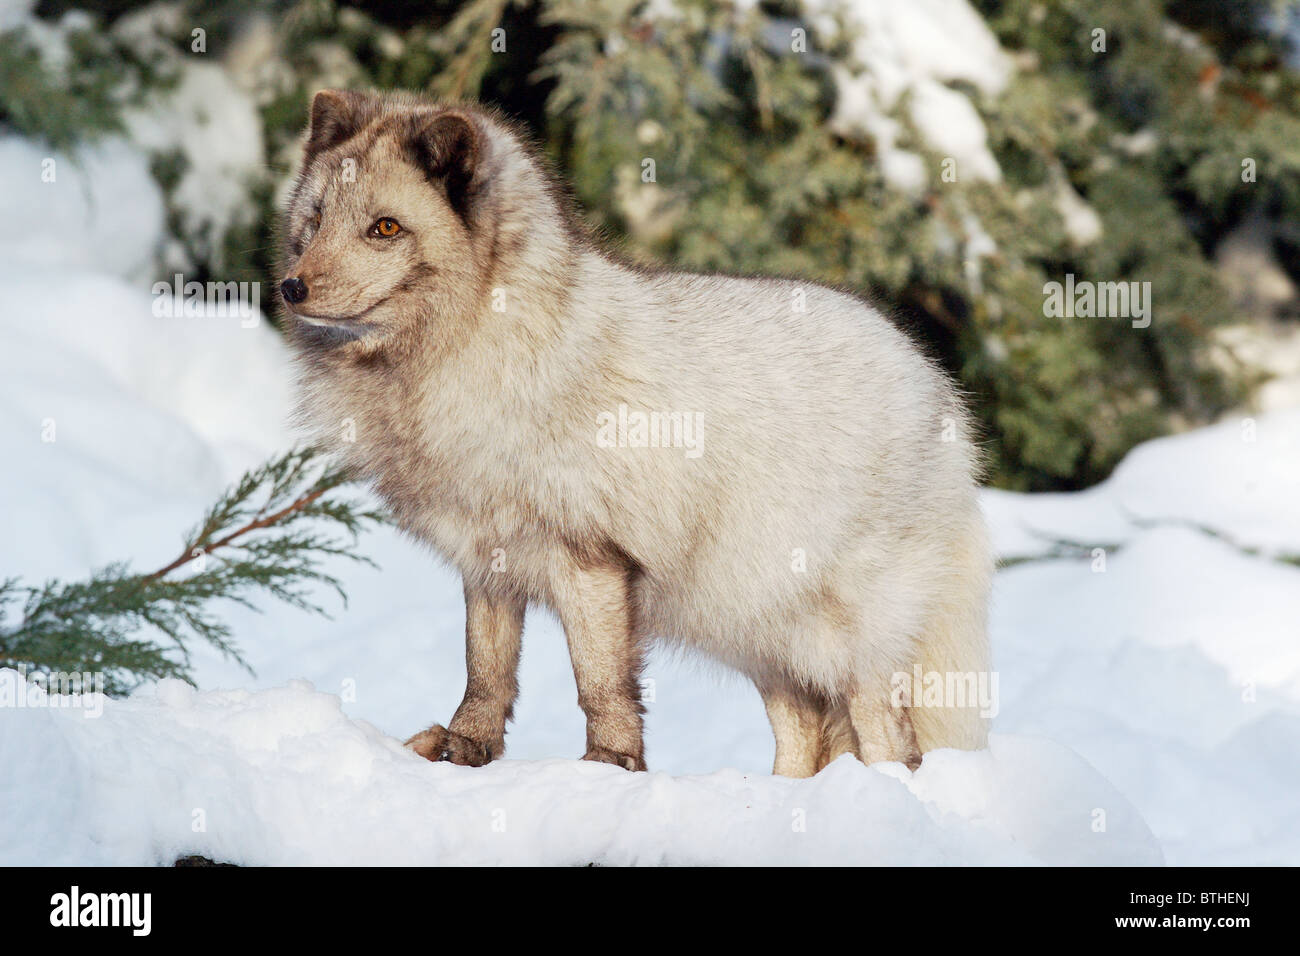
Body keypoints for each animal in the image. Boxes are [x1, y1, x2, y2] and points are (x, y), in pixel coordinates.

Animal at [280, 89, 993, 777]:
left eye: (385, 227)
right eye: (313, 221)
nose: (290, 288)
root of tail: (937, 382)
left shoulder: (591, 558)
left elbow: (600, 683)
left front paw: (608, 766)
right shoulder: (489, 560)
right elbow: (486, 670)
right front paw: (465, 748)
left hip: (841, 635)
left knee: (893, 739)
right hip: (757, 629)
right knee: (804, 733)